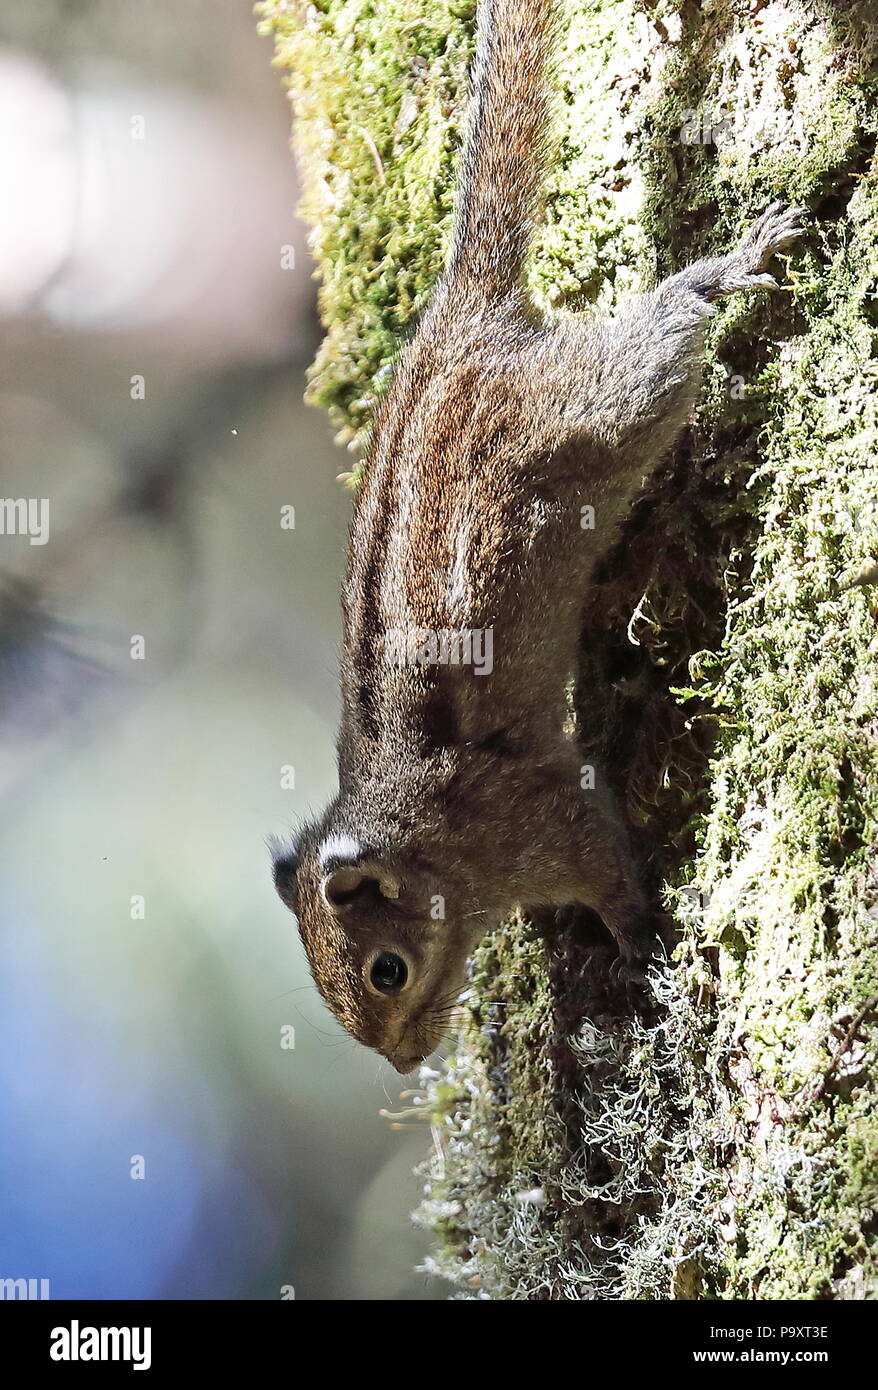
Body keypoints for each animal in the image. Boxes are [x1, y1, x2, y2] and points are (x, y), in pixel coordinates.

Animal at [272, 0, 805, 1073]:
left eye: (386, 969)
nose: (403, 1061)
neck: (425, 840)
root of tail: (460, 322)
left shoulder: (540, 822)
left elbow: (609, 866)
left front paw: (640, 945)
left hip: (600, 405)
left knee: (663, 330)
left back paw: (729, 266)